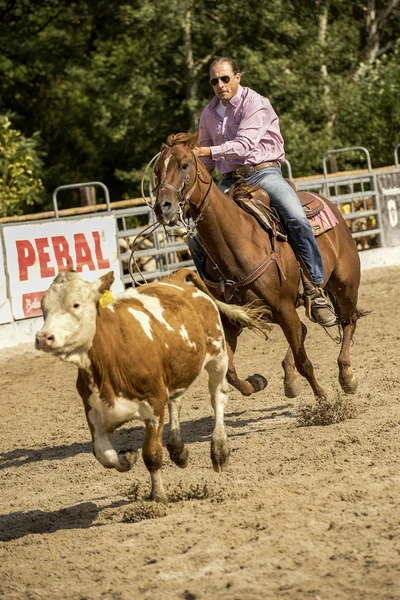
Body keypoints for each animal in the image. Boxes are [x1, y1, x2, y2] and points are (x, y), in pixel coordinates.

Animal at [35, 268, 266, 502]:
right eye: (44, 308)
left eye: (76, 304)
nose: (43, 337)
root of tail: (175, 277)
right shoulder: (93, 411)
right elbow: (103, 454)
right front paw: (127, 457)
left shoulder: (154, 403)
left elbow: (152, 454)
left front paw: (158, 497)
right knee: (176, 402)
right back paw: (178, 450)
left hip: (218, 356)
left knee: (218, 397)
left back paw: (219, 450)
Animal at [154, 132, 366, 404]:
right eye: (157, 171)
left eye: (184, 165)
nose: (163, 206)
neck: (239, 242)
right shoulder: (231, 320)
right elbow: (229, 371)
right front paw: (256, 382)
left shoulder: (284, 309)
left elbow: (304, 362)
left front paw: (324, 401)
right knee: (305, 329)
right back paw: (290, 380)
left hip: (345, 284)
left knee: (349, 320)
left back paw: (347, 376)